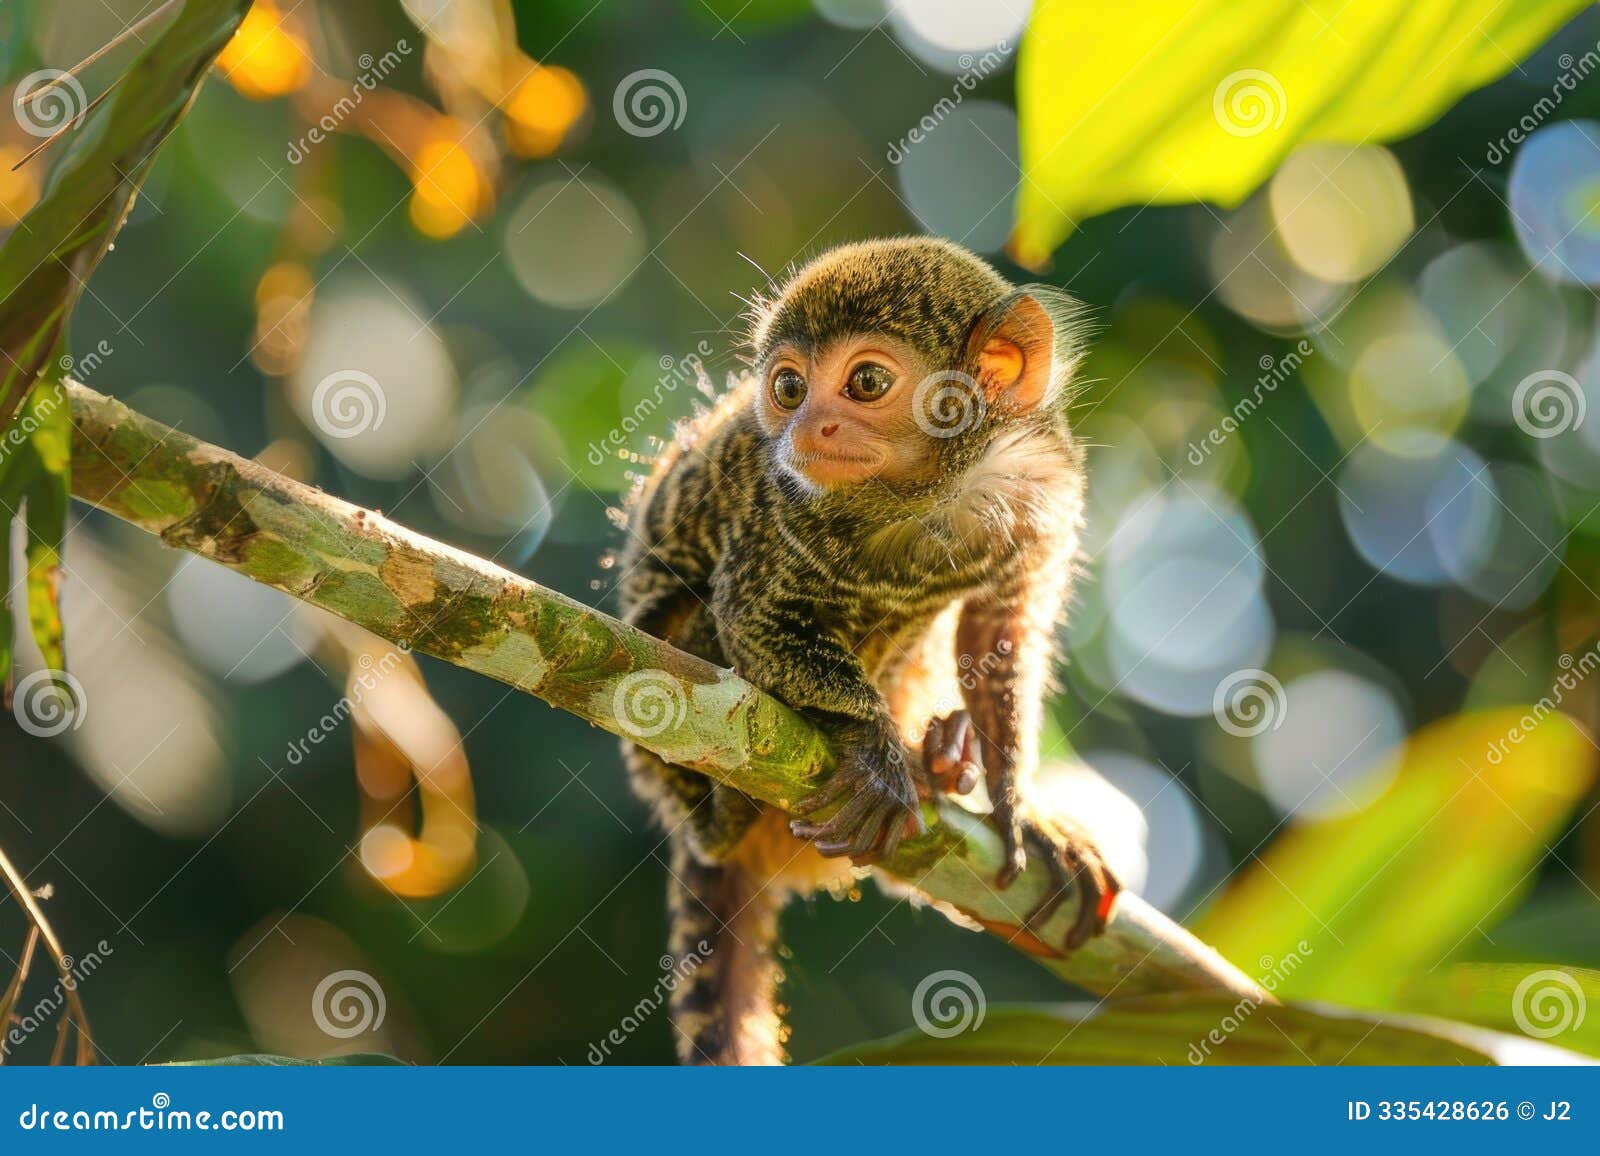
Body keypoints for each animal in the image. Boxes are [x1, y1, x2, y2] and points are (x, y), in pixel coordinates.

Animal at [613, 236, 1120, 1066]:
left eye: (867, 383)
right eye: (789, 388)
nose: (807, 428)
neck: (930, 496)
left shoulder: (1041, 475)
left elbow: (1001, 631)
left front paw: (1015, 801)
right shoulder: (781, 510)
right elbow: (752, 620)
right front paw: (877, 751)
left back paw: (942, 757)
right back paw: (729, 814)